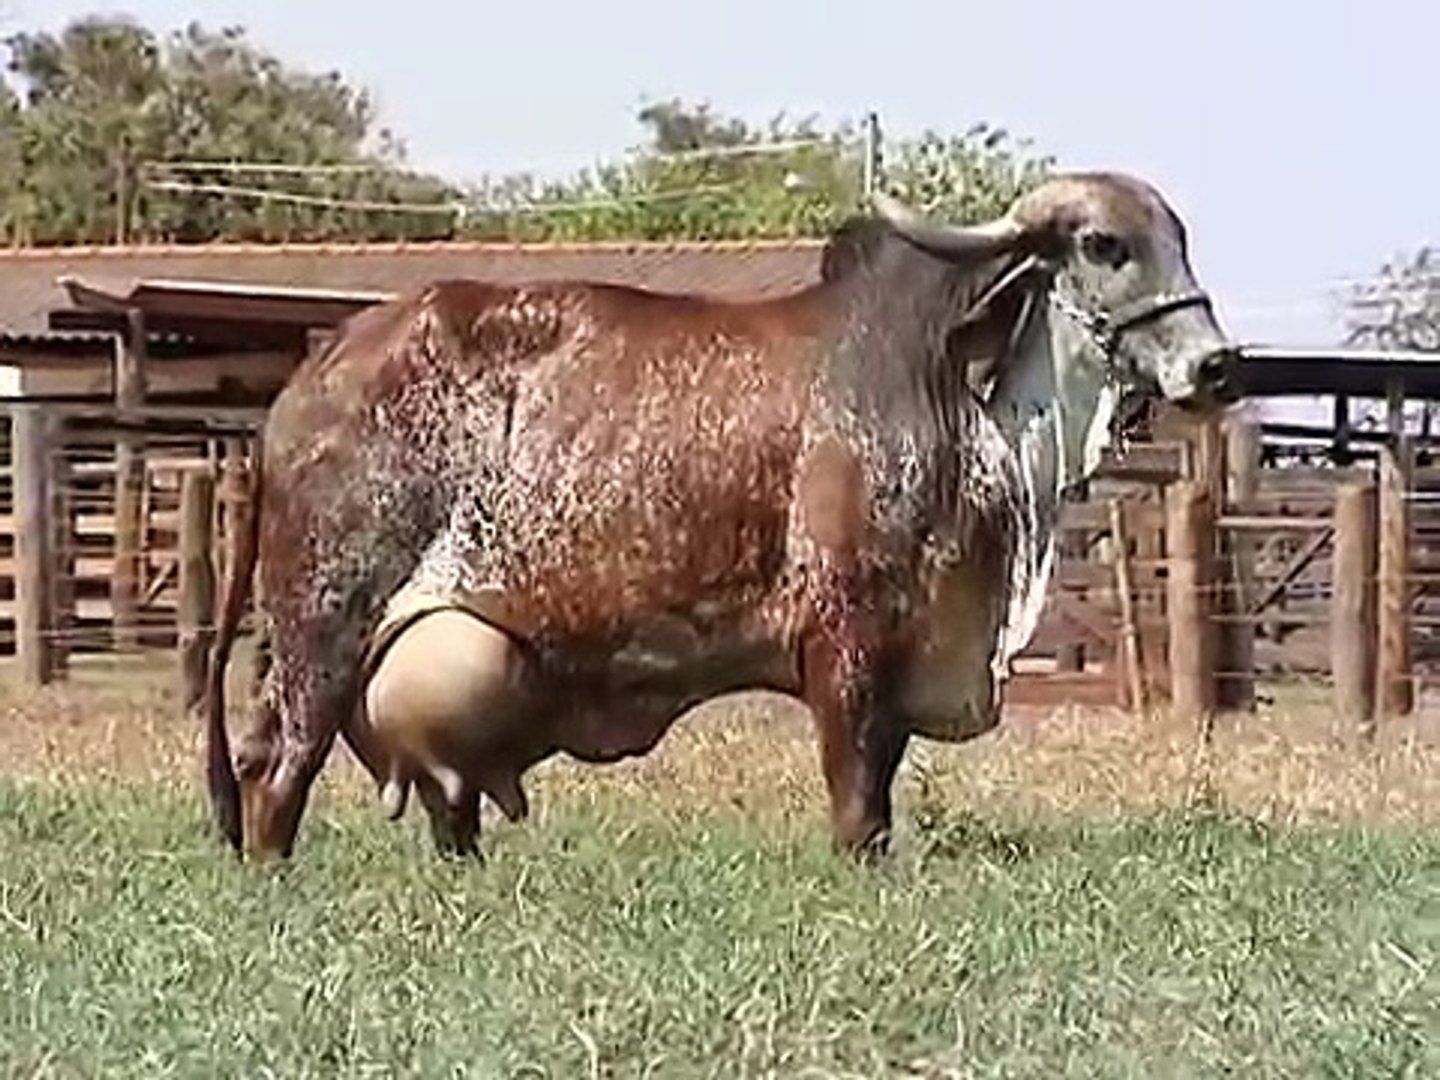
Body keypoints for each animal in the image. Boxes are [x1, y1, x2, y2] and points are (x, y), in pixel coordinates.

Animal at [203, 171, 1238, 863]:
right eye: (1104, 245)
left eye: (1181, 237)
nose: (1218, 364)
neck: (950, 394)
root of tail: (308, 380)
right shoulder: (846, 646)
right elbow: (858, 804)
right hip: (320, 629)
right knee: (276, 767)